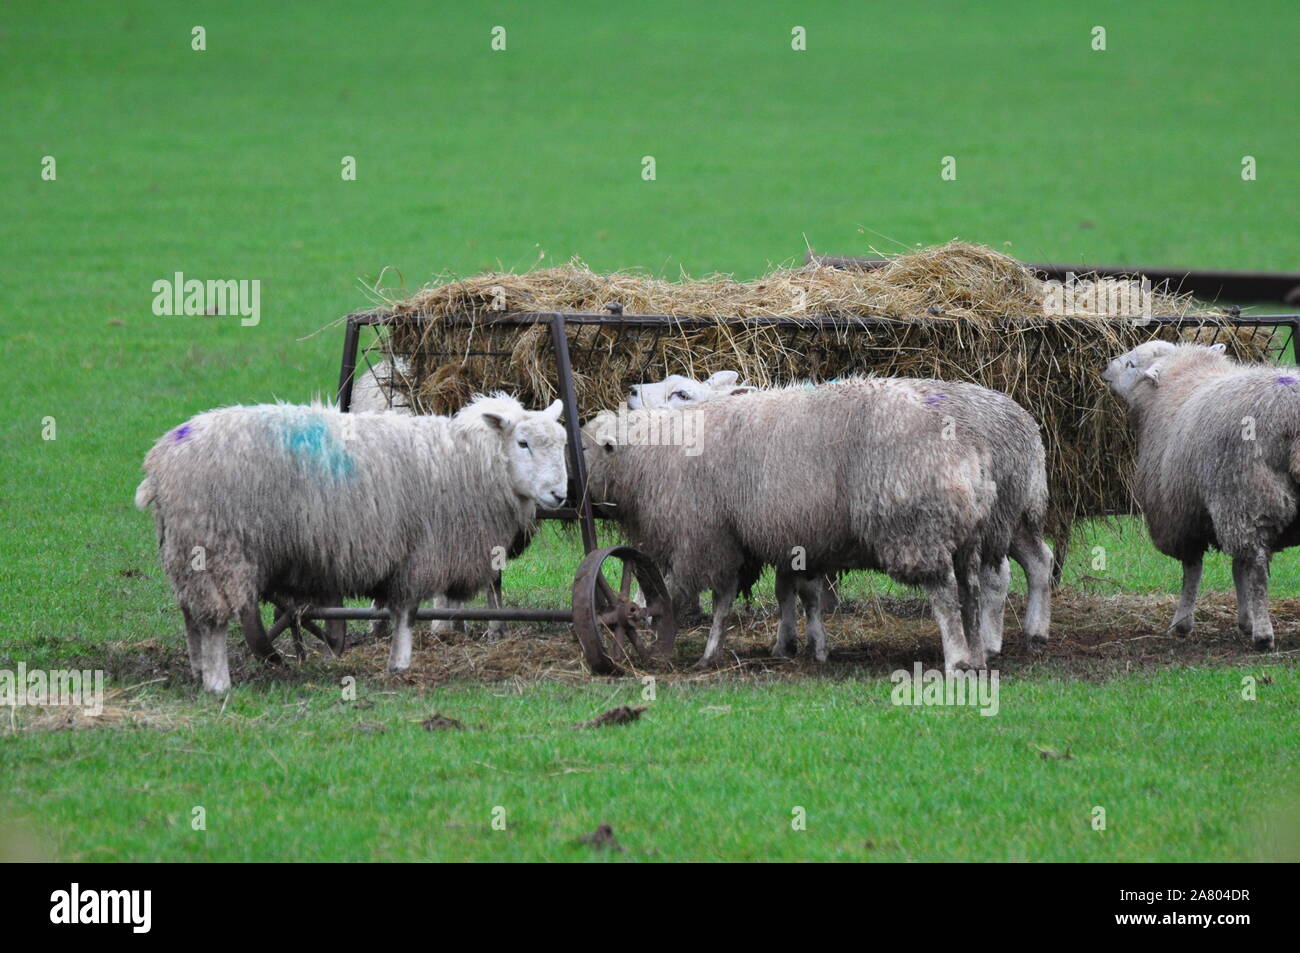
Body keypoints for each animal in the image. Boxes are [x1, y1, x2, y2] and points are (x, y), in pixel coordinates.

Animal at [135, 395, 567, 691]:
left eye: (562, 445)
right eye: (523, 443)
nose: (560, 495)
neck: (467, 461)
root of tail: (161, 461)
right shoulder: (418, 553)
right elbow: (406, 611)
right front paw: (400, 664)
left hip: (185, 550)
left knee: (190, 612)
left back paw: (197, 668)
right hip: (218, 548)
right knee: (213, 620)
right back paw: (217, 681)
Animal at [624, 372, 1052, 662]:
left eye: (680, 393)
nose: (630, 394)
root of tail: (1022, 420)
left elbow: (800, 591)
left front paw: (805, 644)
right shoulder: (792, 530)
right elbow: (789, 590)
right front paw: (791, 642)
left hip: (951, 519)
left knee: (985, 579)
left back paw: (982, 648)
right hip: (1006, 514)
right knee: (1036, 561)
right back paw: (1031, 633)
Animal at [1103, 340, 1300, 650]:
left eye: (1132, 364)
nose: (1106, 369)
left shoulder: (1179, 516)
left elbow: (1192, 570)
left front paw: (1182, 623)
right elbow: (1237, 568)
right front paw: (1244, 619)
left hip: (1247, 494)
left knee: (1257, 570)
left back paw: (1263, 635)